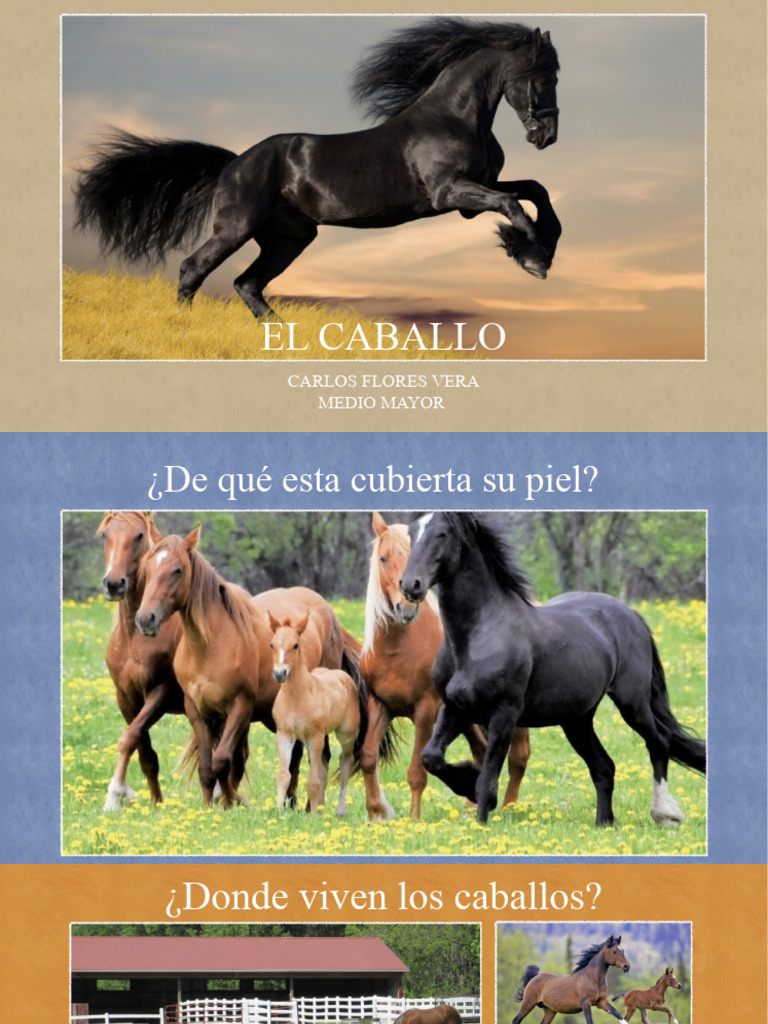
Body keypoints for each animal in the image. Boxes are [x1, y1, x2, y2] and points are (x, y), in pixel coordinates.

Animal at [73, 18, 561, 321]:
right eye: (543, 76)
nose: (547, 136)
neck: (452, 118)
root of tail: (234, 162)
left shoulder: (474, 192)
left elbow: (534, 191)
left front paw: (540, 248)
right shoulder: (451, 193)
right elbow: (513, 204)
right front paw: (532, 258)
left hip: (289, 237)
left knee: (247, 283)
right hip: (236, 227)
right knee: (194, 268)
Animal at [96, 511, 185, 810]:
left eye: (138, 536)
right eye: (105, 535)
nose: (114, 584)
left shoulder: (161, 692)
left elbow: (129, 738)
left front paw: (114, 796)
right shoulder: (126, 696)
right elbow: (146, 755)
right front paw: (156, 804)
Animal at [269, 610, 367, 814]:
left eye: (295, 645)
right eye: (272, 644)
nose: (279, 674)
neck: (297, 697)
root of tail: (343, 675)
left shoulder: (315, 737)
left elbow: (313, 782)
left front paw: (313, 814)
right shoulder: (284, 735)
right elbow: (283, 775)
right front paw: (279, 811)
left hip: (346, 734)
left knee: (346, 761)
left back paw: (340, 810)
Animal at [360, 511, 531, 820]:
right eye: (383, 558)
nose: (406, 605)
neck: (397, 650)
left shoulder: (426, 711)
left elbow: (417, 771)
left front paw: (415, 819)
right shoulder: (380, 705)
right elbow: (368, 758)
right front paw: (376, 813)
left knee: (517, 757)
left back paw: (508, 807)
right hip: (469, 718)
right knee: (482, 751)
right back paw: (472, 805)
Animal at [400, 512, 706, 826]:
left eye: (442, 534)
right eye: (412, 532)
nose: (411, 585)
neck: (475, 640)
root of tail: (630, 614)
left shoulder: (504, 714)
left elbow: (487, 779)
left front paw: (482, 818)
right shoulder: (455, 709)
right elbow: (431, 757)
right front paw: (466, 782)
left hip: (632, 703)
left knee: (659, 741)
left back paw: (665, 814)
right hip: (577, 719)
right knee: (604, 766)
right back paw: (604, 823)